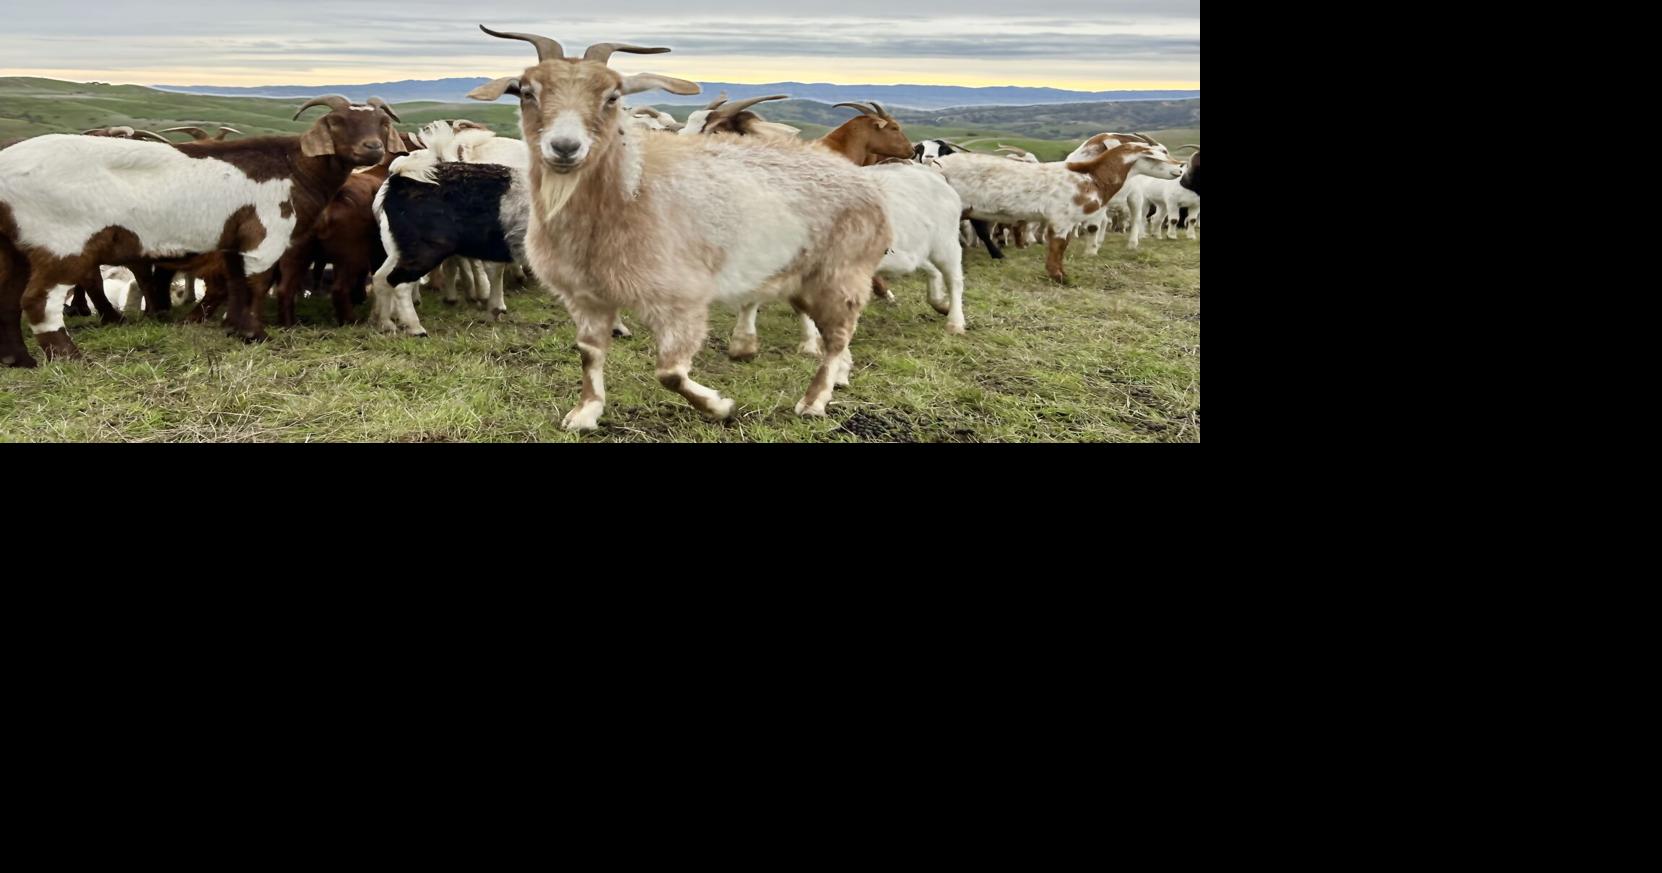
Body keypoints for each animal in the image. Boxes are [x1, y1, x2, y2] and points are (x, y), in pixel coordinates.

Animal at [0, 94, 406, 366]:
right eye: (336, 123)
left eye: (382, 124)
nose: (372, 147)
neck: (292, 165)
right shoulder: (265, 235)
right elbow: (256, 283)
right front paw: (256, 334)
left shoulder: (233, 241)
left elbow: (236, 283)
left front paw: (237, 330)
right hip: (61, 240)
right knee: (38, 300)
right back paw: (70, 357)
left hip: (12, 246)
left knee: (9, 298)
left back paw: (19, 360)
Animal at [468, 25, 891, 429]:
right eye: (526, 91)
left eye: (613, 96)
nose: (565, 147)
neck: (630, 192)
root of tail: (863, 182)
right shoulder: (585, 296)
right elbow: (589, 354)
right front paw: (586, 413)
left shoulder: (681, 299)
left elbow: (670, 373)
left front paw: (720, 407)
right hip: (802, 277)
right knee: (834, 332)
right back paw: (839, 376)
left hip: (842, 273)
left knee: (838, 335)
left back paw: (814, 400)